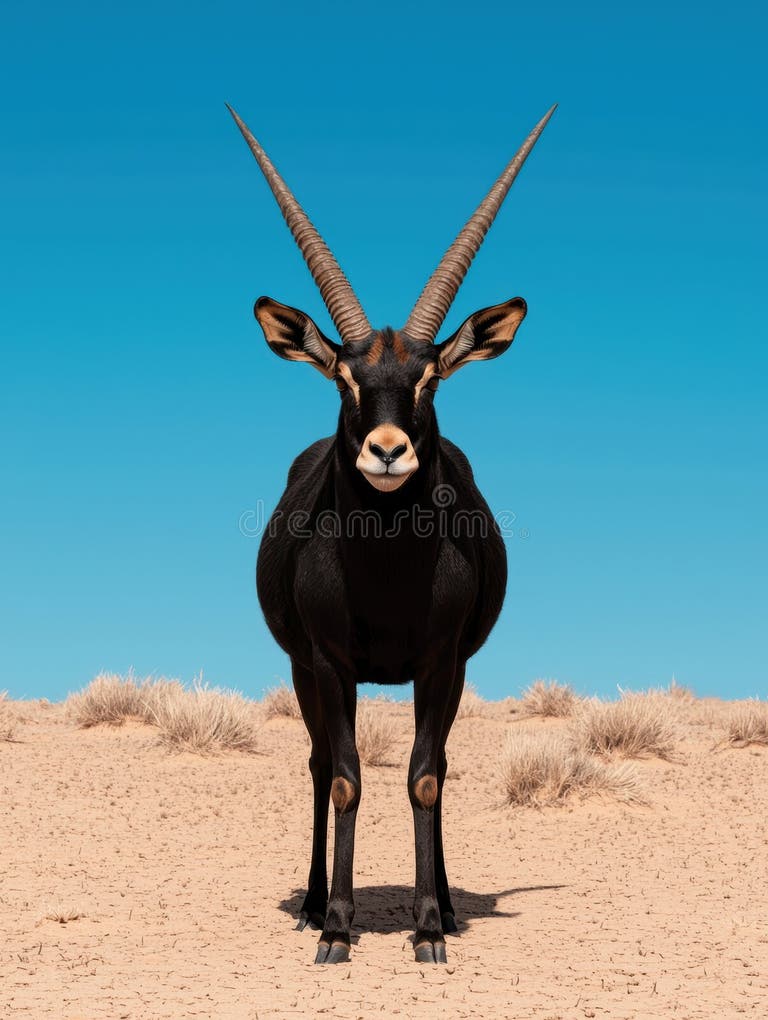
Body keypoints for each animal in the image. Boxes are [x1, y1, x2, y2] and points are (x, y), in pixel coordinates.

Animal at [229, 104, 555, 964]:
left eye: (429, 376)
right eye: (344, 376)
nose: (385, 451)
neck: (385, 571)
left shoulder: (444, 663)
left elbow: (426, 774)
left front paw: (432, 927)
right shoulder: (330, 661)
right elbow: (345, 775)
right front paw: (338, 930)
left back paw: (440, 902)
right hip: (305, 671)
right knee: (317, 764)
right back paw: (314, 904)